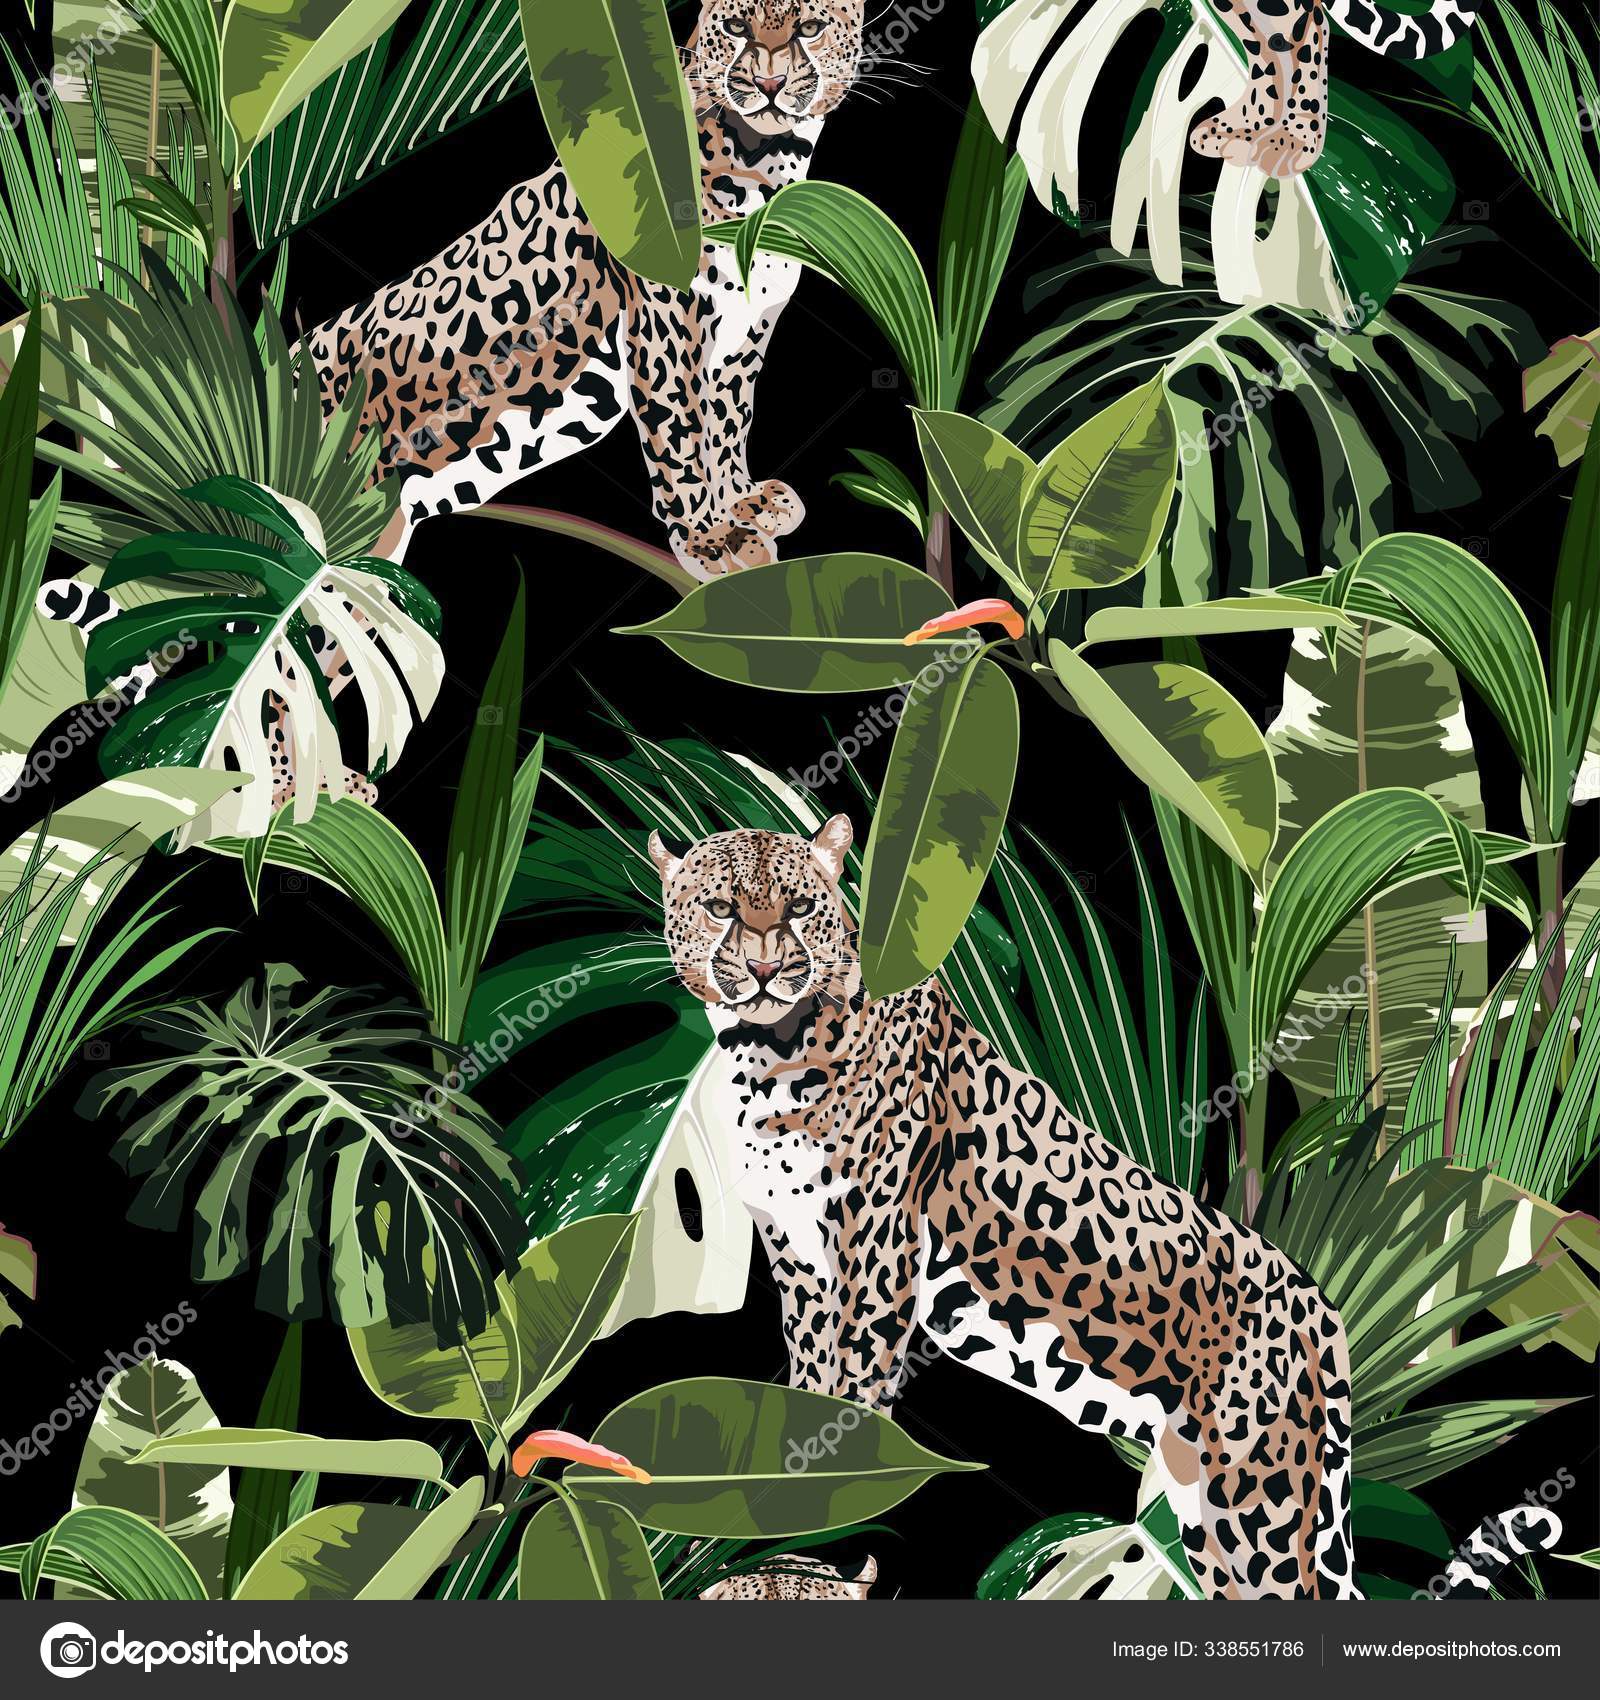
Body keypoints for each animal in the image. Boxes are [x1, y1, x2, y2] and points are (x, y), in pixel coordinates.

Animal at [309, 1, 867, 578]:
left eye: (810, 28)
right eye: (737, 28)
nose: (769, 82)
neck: (766, 168)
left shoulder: (745, 332)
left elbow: (730, 423)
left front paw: (744, 503)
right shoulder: (668, 335)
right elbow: (684, 438)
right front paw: (710, 538)